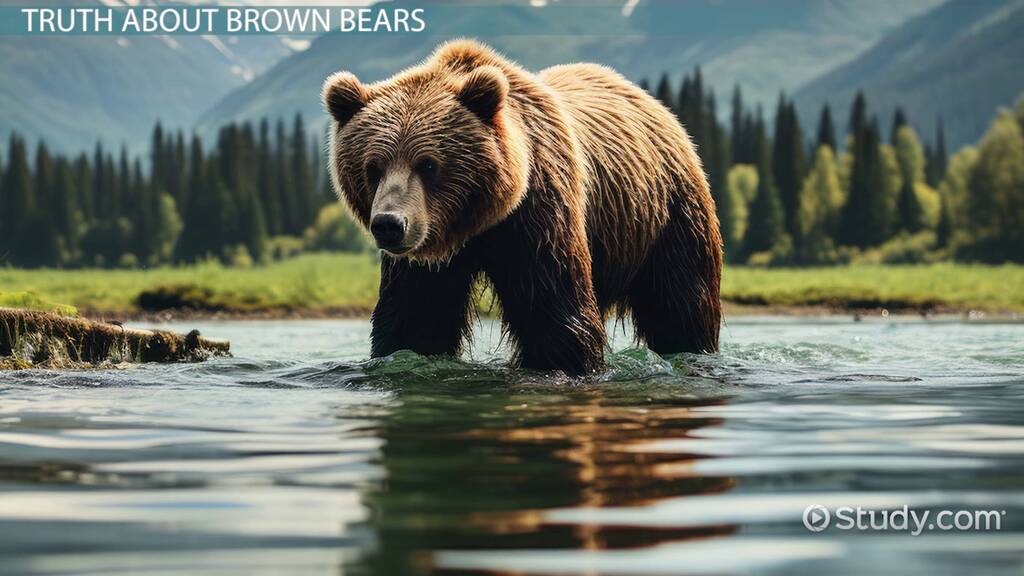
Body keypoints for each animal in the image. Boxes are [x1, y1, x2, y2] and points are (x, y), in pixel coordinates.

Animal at [323, 40, 722, 376]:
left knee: (681, 300)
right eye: (373, 166)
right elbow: (415, 319)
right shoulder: (423, 261)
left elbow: (553, 310)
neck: (478, 222)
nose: (390, 224)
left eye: (428, 164)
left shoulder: (538, 217)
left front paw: (561, 363)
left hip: (669, 213)